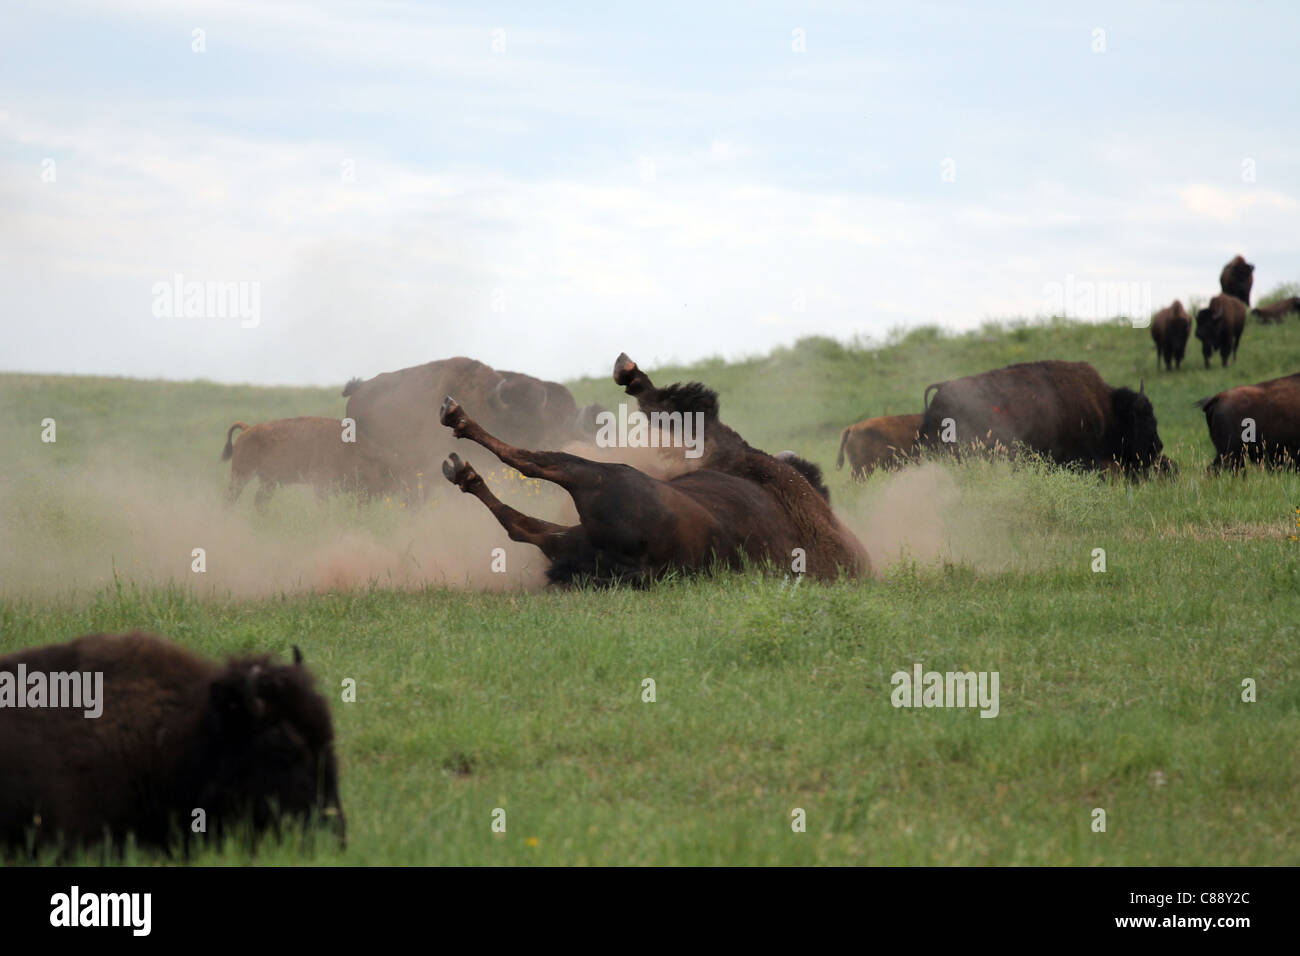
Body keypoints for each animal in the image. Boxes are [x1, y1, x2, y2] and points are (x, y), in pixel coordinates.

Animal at [223, 417, 396, 509]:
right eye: (379, 471)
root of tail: (248, 429)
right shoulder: (320, 484)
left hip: (268, 482)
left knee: (259, 501)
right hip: (241, 475)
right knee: (231, 498)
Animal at [436, 353, 869, 585]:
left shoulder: (719, 442)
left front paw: (630, 375)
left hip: (605, 478)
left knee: (537, 464)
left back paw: (458, 426)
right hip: (570, 537)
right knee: (522, 526)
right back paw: (465, 473)